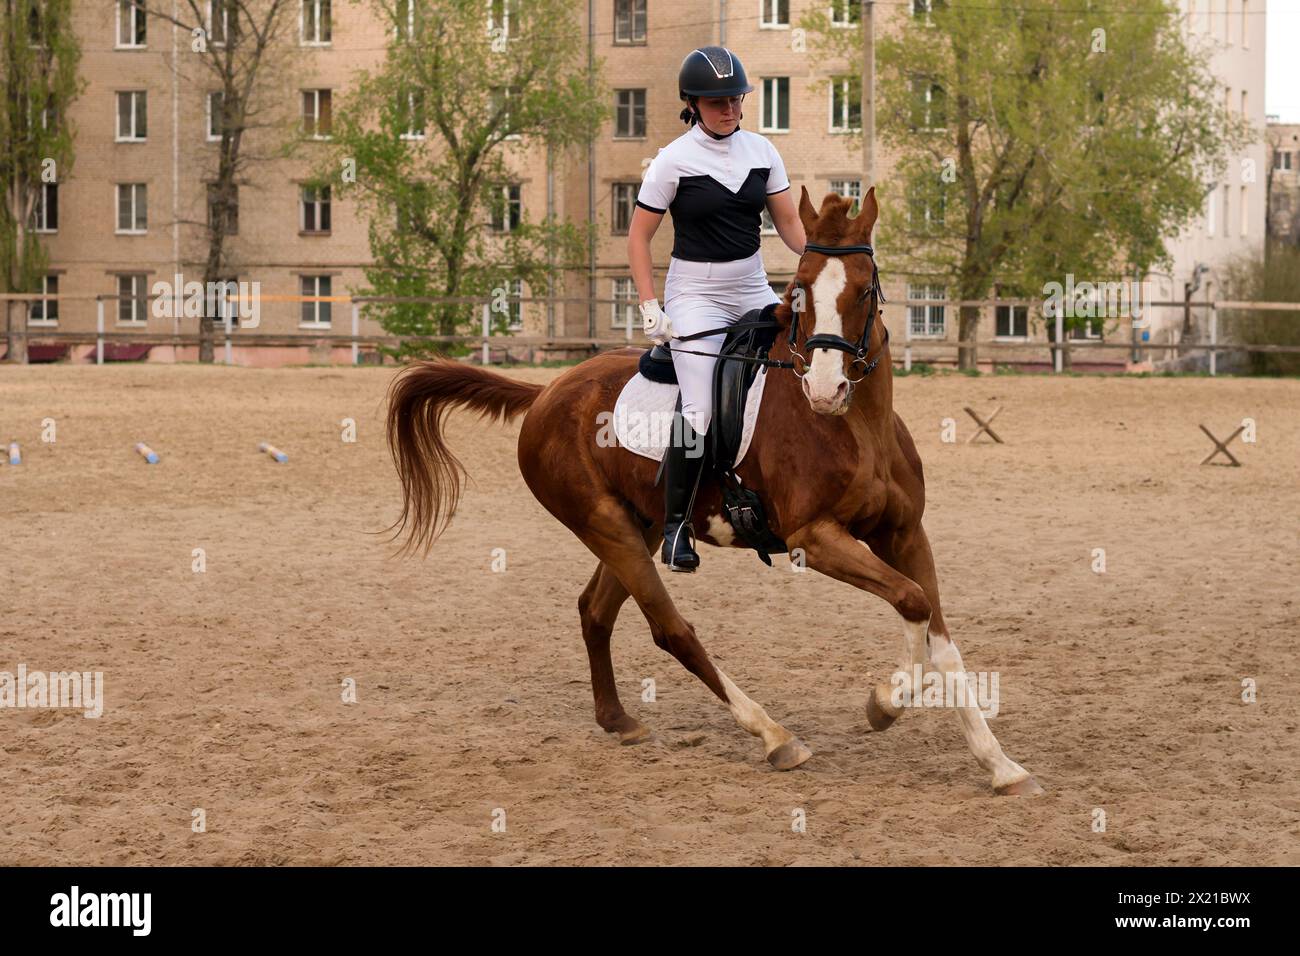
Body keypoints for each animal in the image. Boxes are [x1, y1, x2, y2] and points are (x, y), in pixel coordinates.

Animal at [386, 186, 1042, 795]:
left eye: (863, 290)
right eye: (799, 291)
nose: (825, 390)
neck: (857, 426)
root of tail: (547, 391)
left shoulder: (904, 533)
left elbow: (938, 633)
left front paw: (1000, 765)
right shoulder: (814, 538)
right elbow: (911, 601)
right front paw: (884, 703)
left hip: (638, 525)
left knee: (595, 610)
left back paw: (618, 720)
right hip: (605, 524)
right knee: (671, 629)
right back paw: (774, 737)